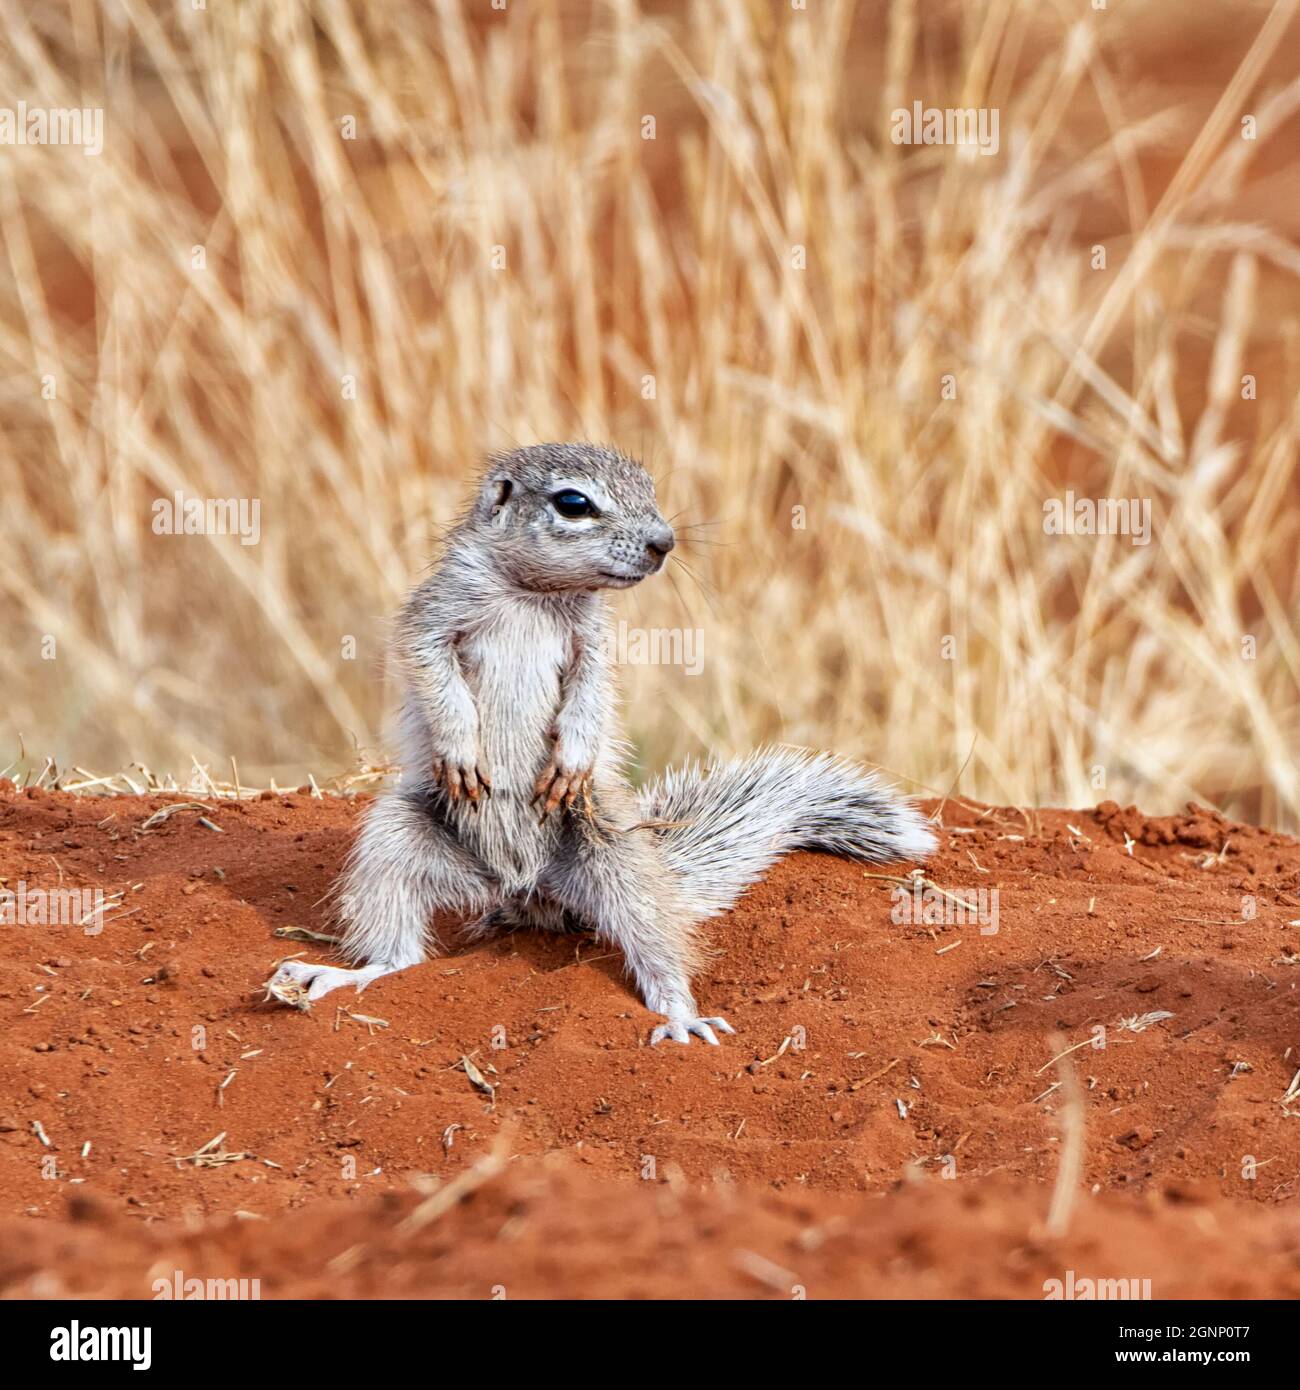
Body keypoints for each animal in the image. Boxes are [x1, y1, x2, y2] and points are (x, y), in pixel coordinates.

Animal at [270, 443, 935, 1044]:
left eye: (649, 486)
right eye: (573, 503)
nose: (665, 542)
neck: (532, 593)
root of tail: (524, 889)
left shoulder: (592, 644)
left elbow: (590, 696)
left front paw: (571, 760)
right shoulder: (433, 617)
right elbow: (437, 678)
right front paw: (460, 745)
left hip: (611, 846)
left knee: (654, 937)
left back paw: (680, 1013)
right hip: (396, 838)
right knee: (400, 951)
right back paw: (345, 975)